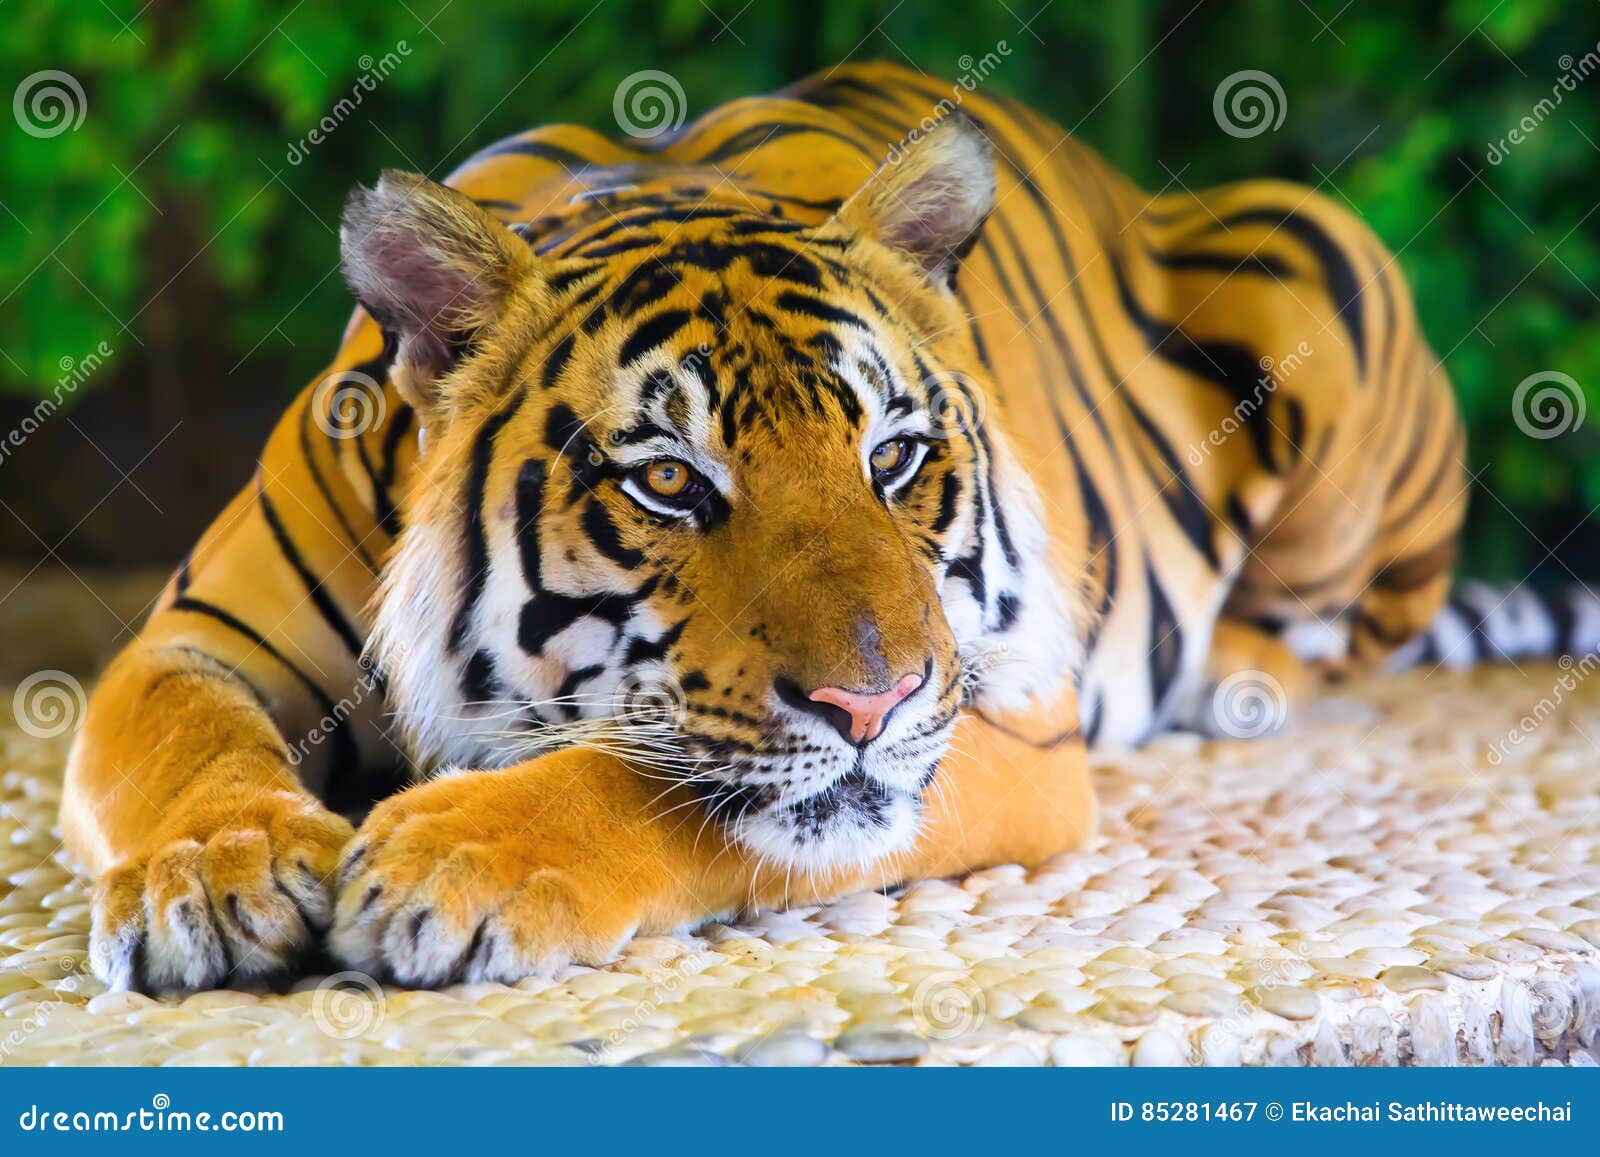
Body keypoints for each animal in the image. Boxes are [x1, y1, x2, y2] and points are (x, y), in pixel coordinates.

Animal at [59, 61, 1590, 994]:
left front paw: (459, 859)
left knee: (1343, 632)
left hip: (1325, 256)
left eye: (895, 458)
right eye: (670, 482)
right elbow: (178, 741)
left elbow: (655, 779)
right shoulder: (195, 633)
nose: (874, 699)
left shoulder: (1005, 713)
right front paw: (211, 878)